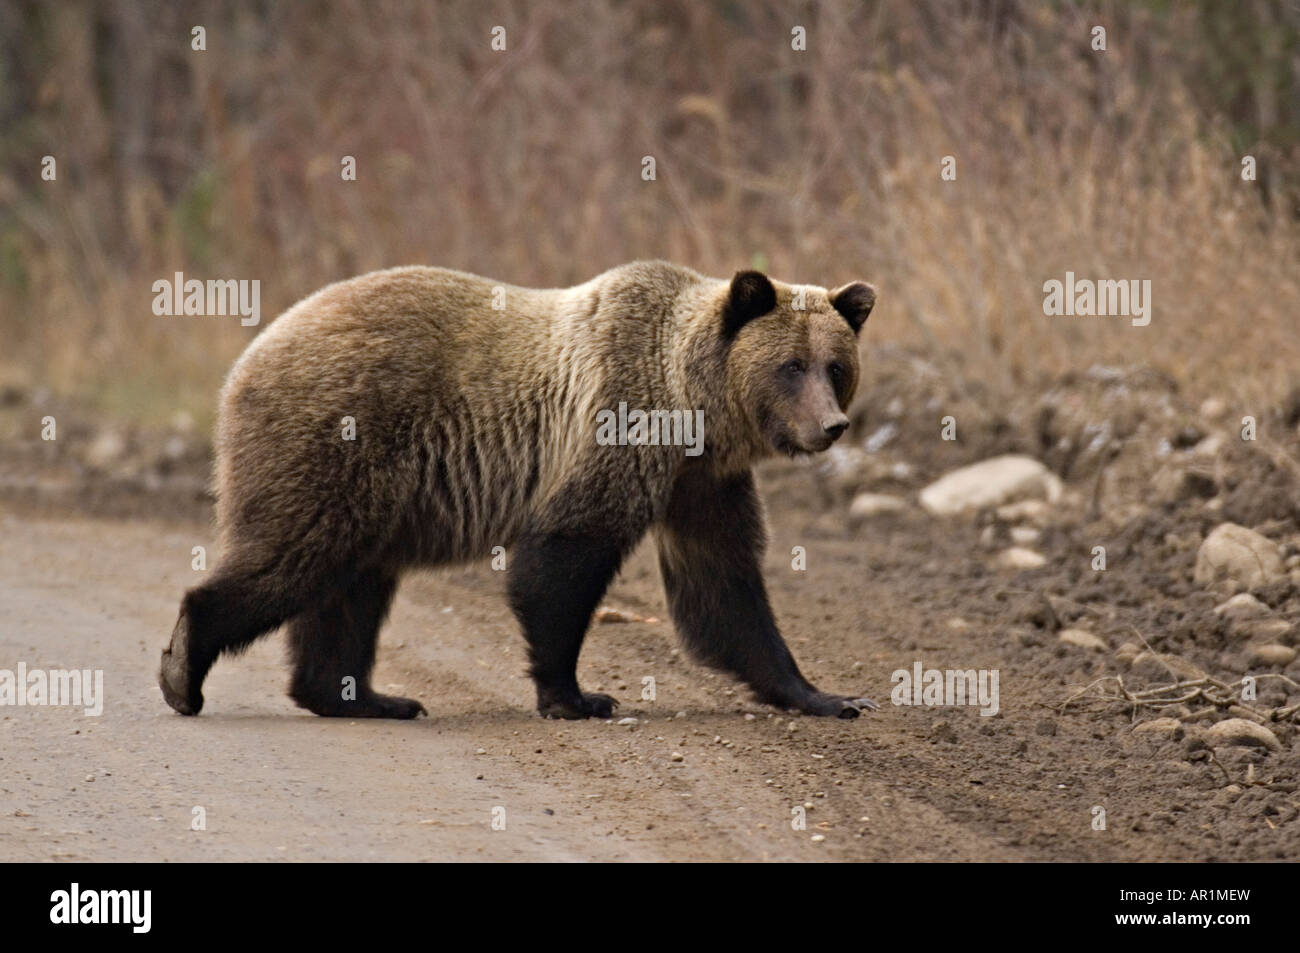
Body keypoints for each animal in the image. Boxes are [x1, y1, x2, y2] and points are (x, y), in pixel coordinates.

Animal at [159, 261, 878, 720]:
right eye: (791, 366)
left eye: (835, 366)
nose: (830, 426)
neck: (691, 406)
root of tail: (250, 356)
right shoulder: (616, 432)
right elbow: (563, 560)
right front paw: (578, 697)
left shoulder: (701, 480)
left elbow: (724, 587)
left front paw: (828, 695)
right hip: (334, 440)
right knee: (294, 556)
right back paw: (183, 670)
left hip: (370, 488)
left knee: (350, 587)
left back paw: (368, 697)